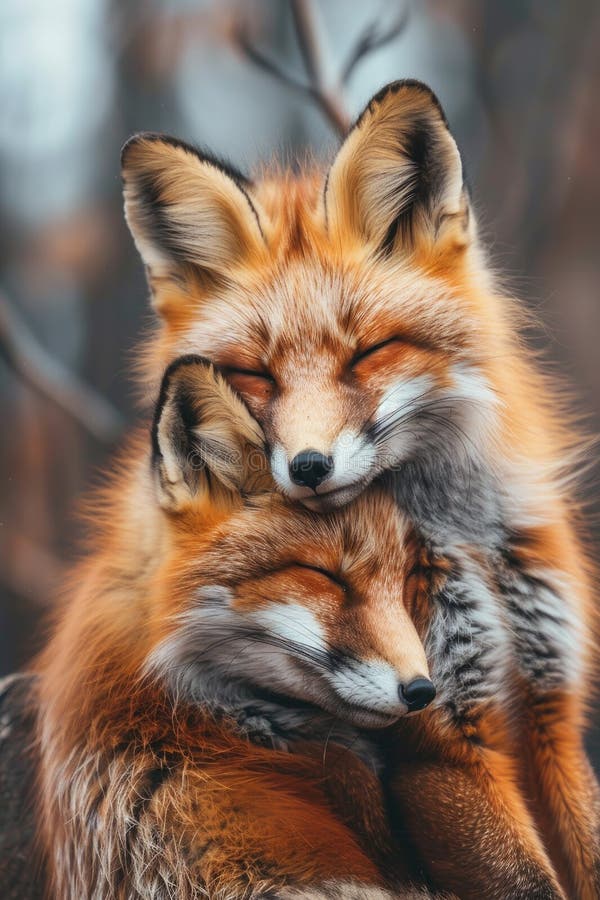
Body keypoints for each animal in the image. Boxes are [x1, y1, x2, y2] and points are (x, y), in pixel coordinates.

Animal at [120, 80, 600, 898]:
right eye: (254, 376)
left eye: (367, 354)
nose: (308, 467)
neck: (467, 542)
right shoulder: (437, 741)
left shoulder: (551, 711)